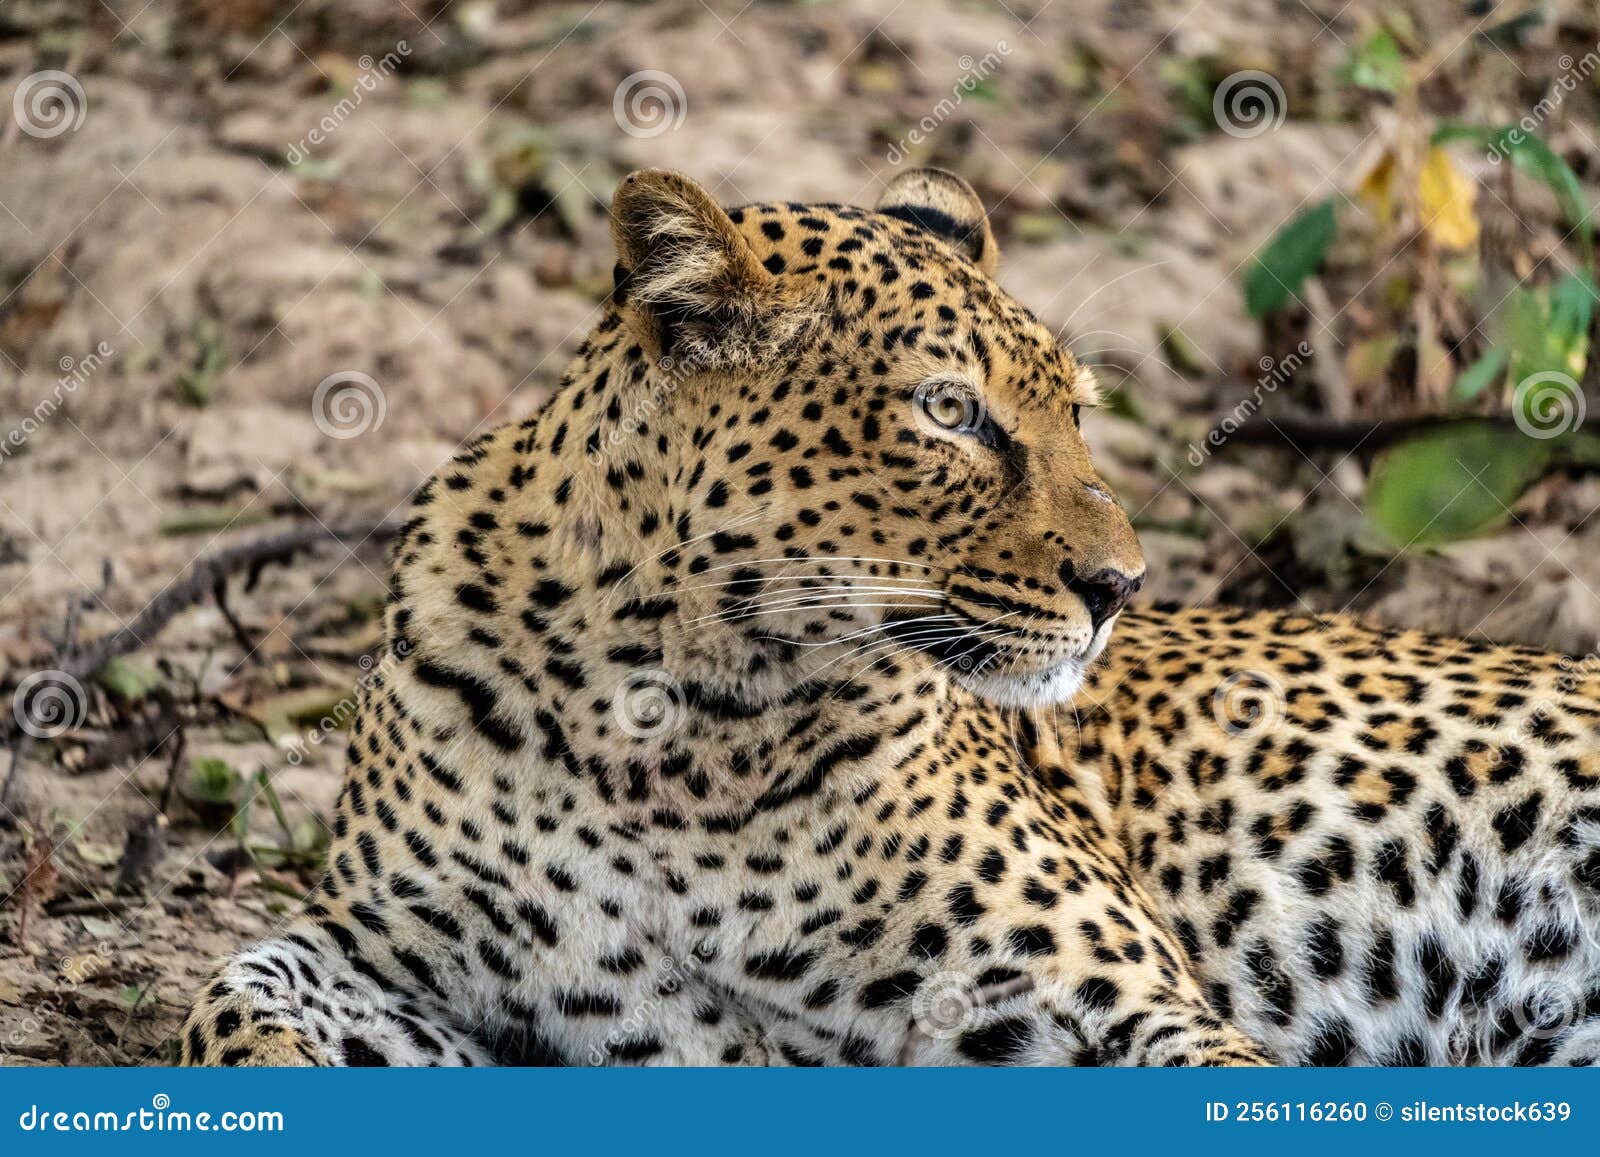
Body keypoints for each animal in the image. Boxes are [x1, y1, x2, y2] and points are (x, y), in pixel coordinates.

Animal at [181, 167, 1600, 1067]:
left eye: (1073, 409)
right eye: (949, 411)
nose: (1122, 586)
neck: (672, 718)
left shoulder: (1114, 998)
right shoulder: (396, 957)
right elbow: (231, 993)